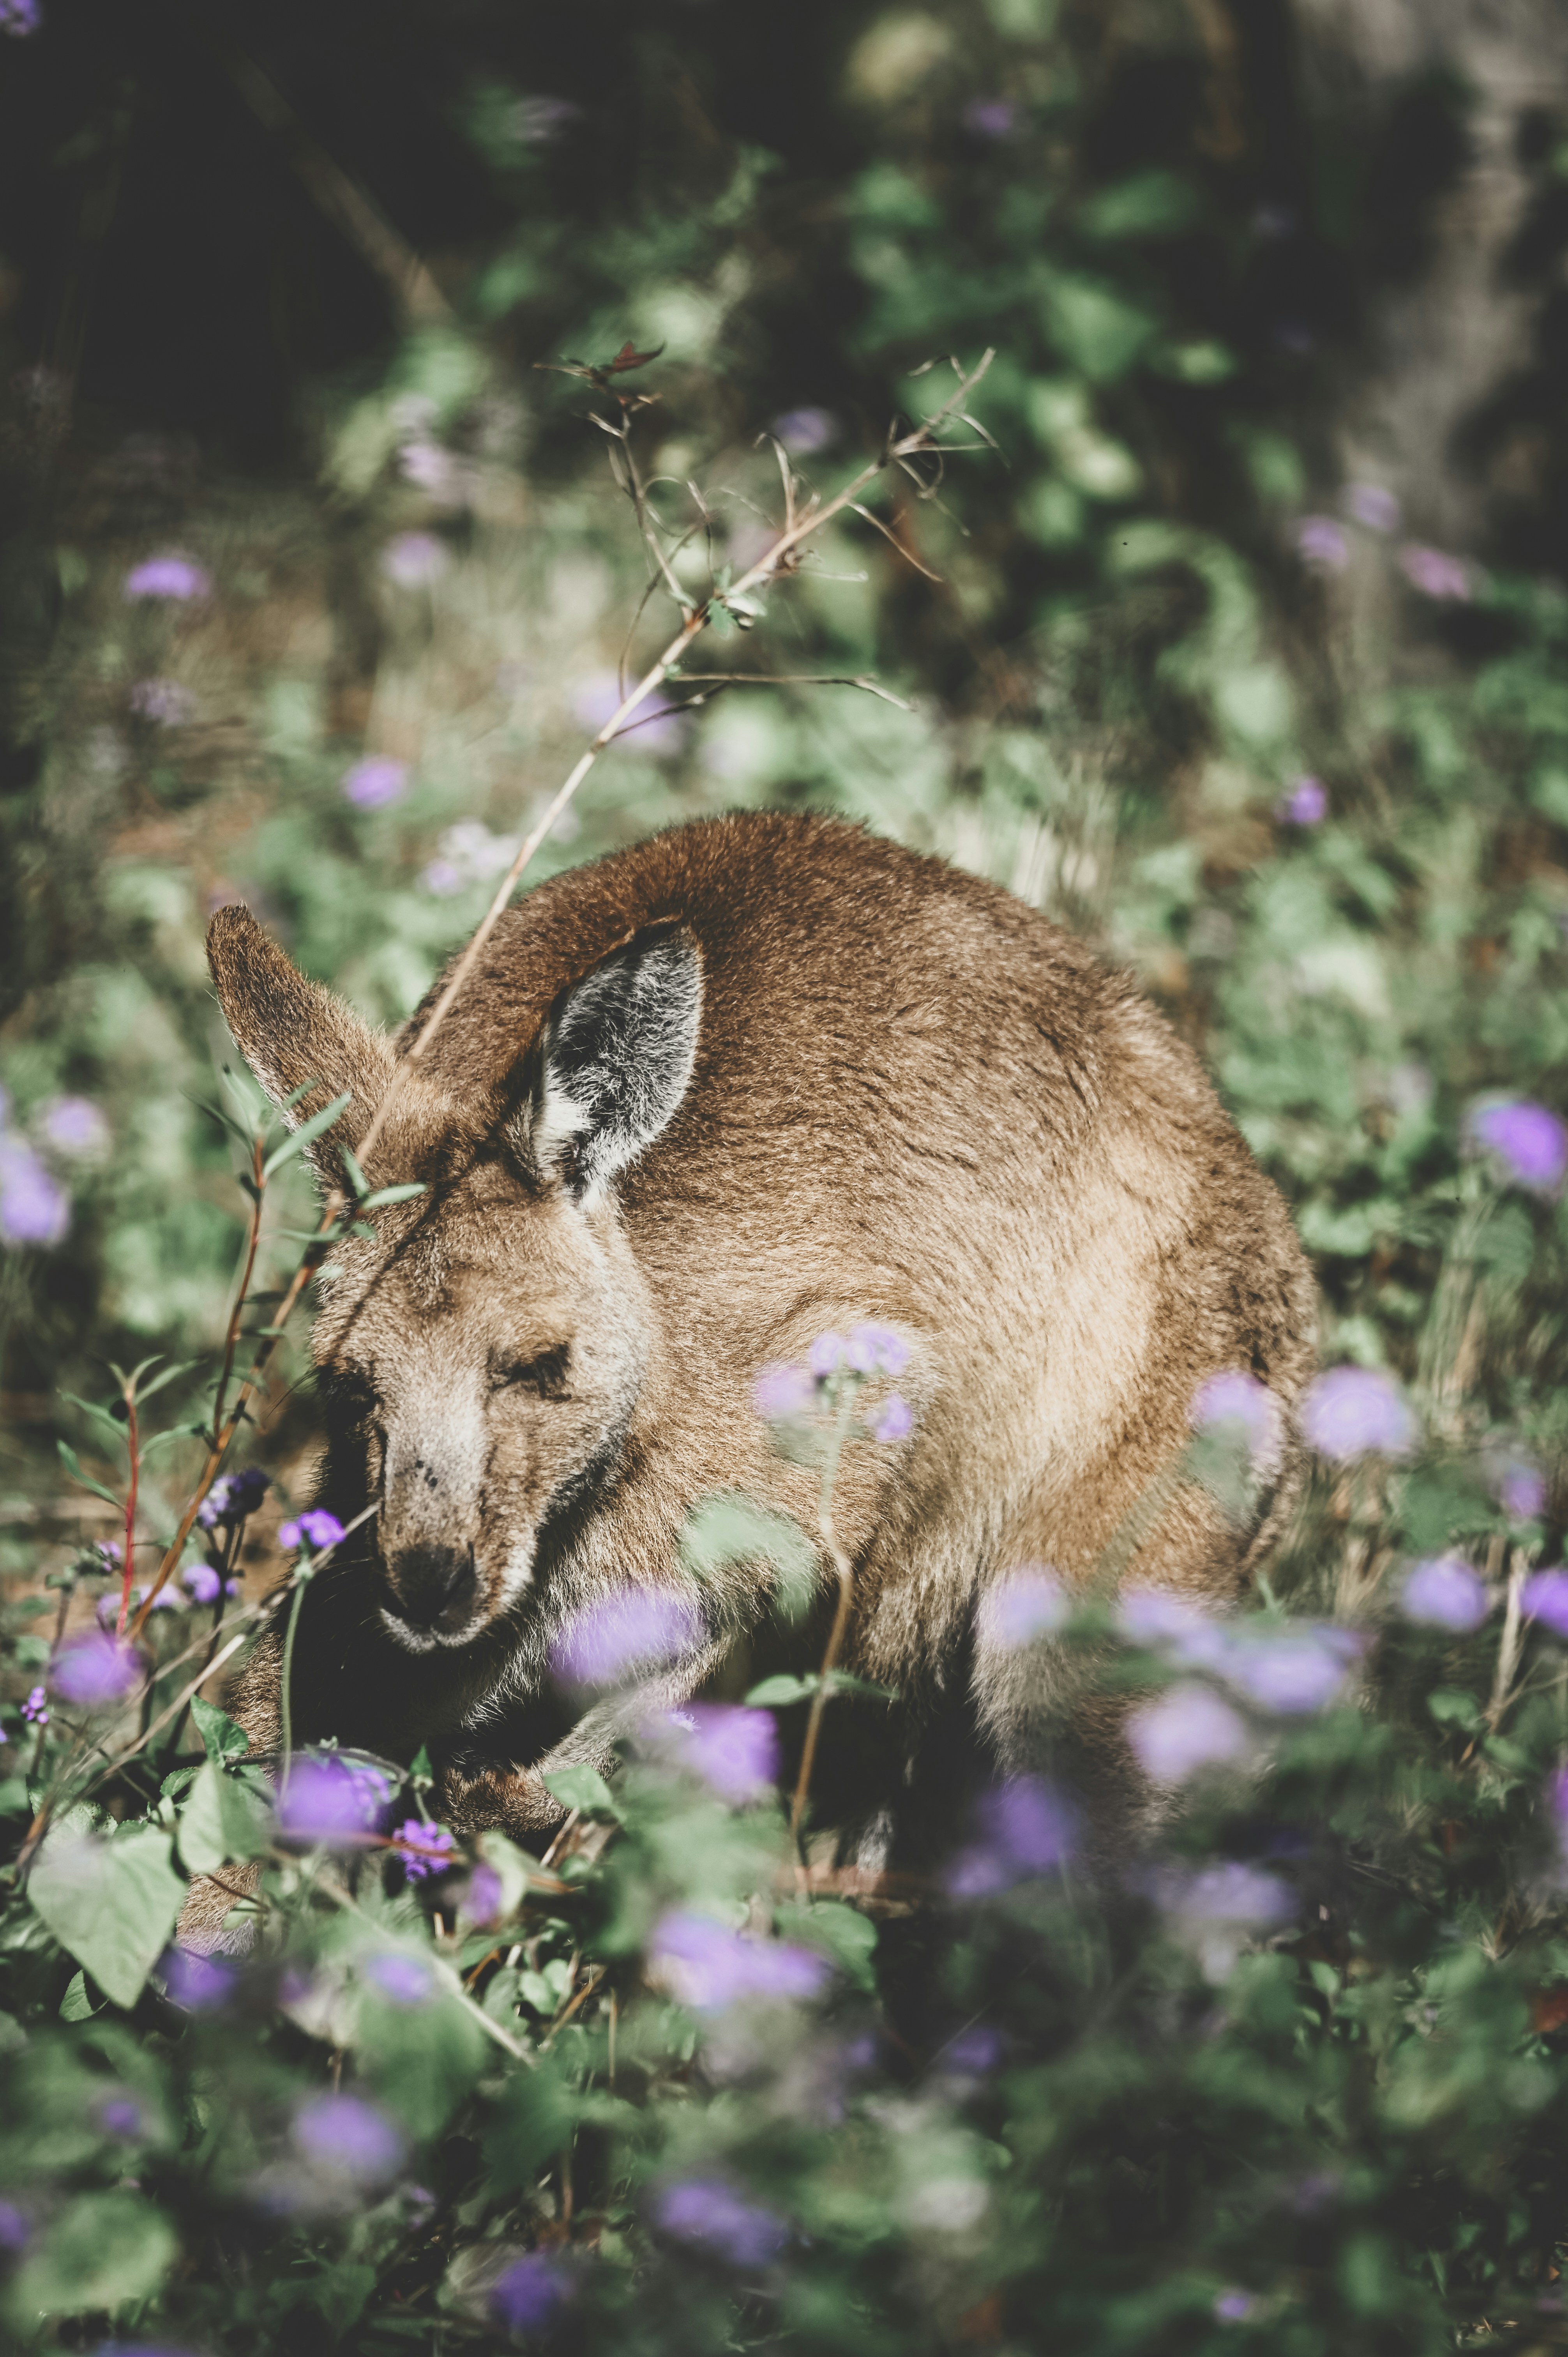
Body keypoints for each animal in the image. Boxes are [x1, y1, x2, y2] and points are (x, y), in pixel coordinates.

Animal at [182, 809, 1314, 1944]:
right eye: (350, 1386)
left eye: (538, 1365)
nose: (427, 1584)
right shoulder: (346, 1598)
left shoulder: (843, 1423)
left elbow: (702, 1645)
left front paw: (517, 1808)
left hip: (1101, 1563)